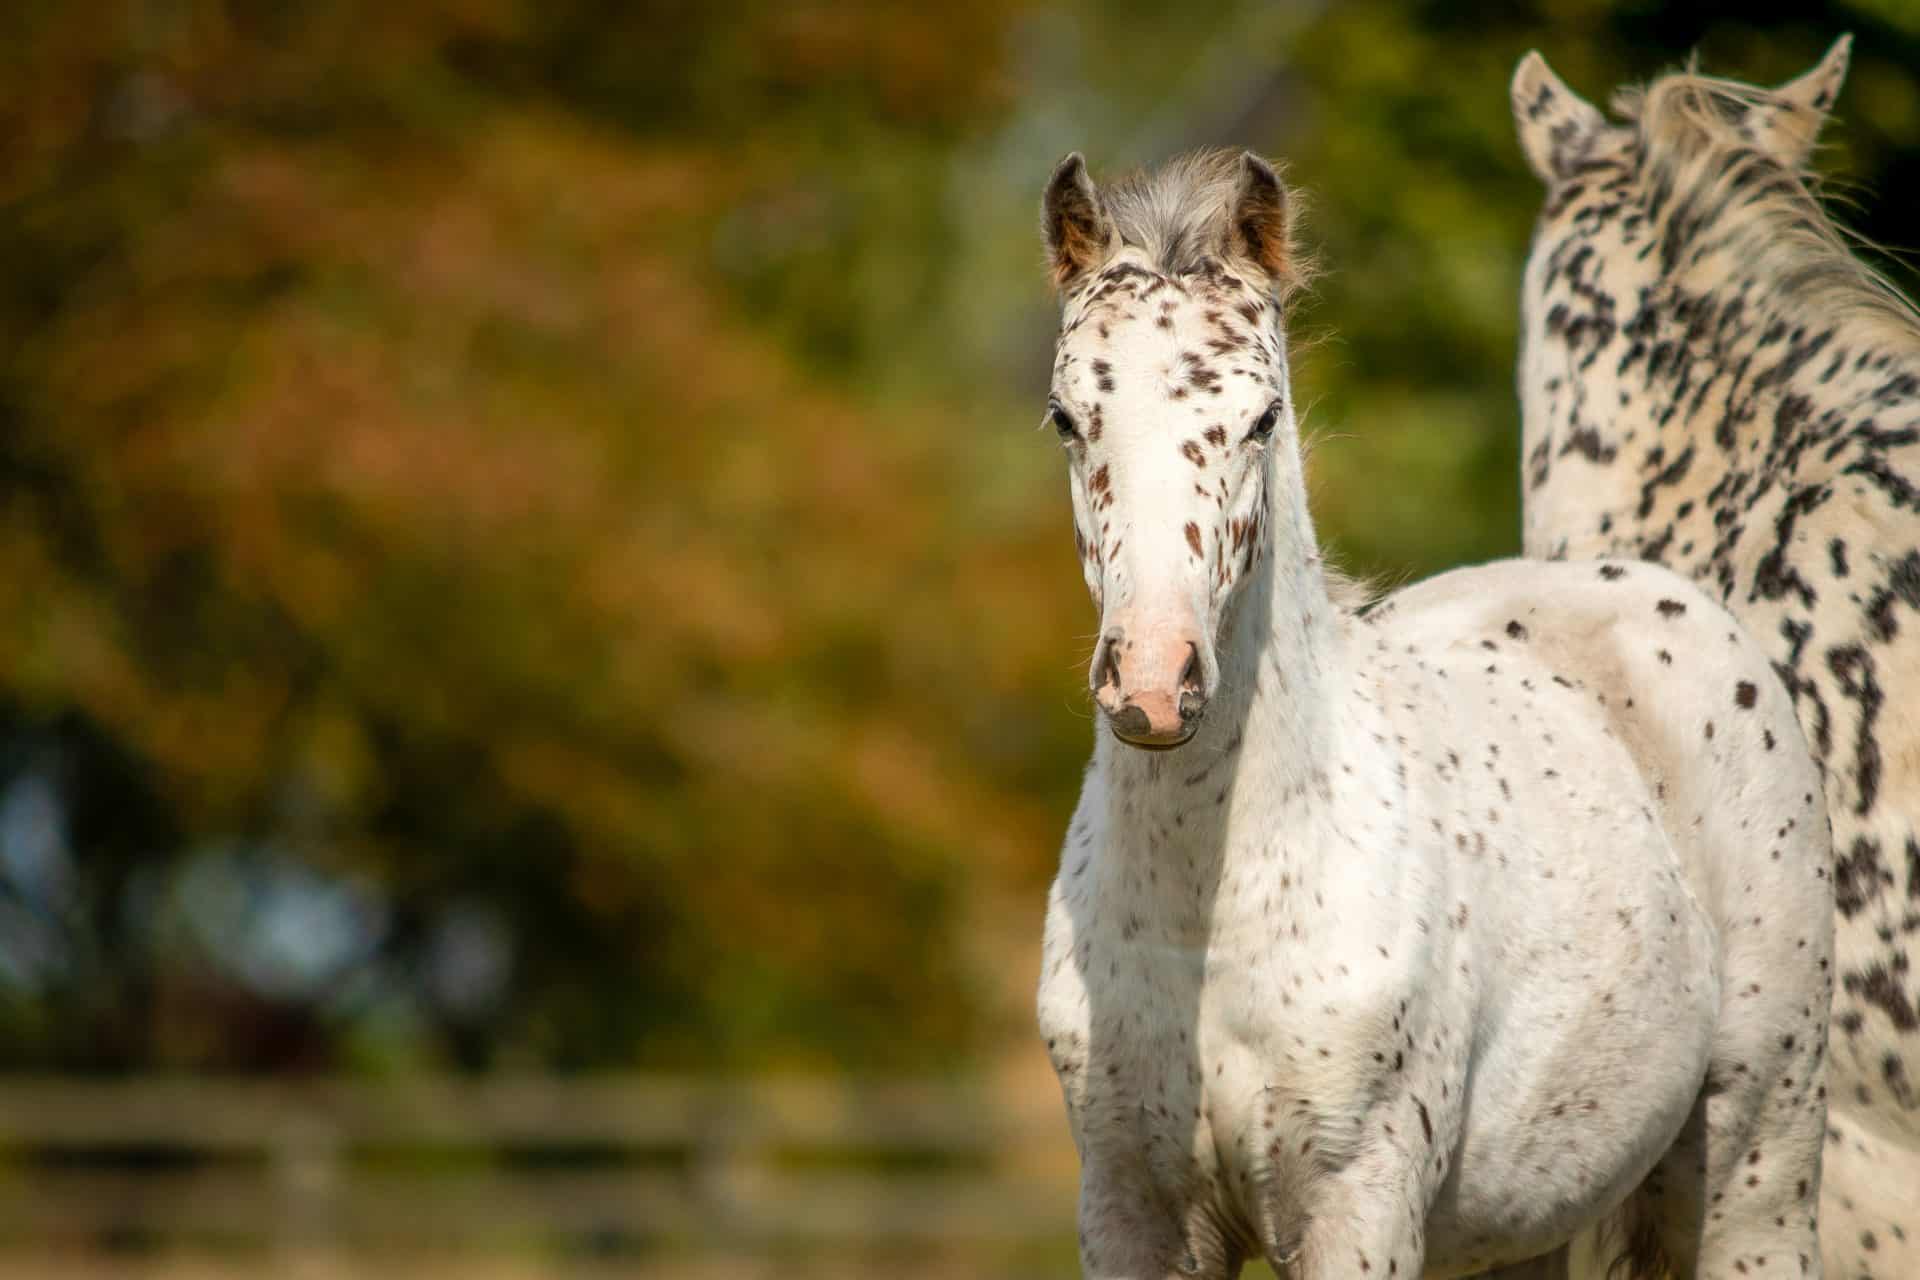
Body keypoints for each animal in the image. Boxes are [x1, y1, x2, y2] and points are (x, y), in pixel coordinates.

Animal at [1030, 147, 1834, 1279]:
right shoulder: (1132, 1208)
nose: (1152, 681)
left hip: (1757, 1166)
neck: (1210, 928)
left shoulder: (1355, 1204)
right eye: (1069, 416)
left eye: (1262, 418)